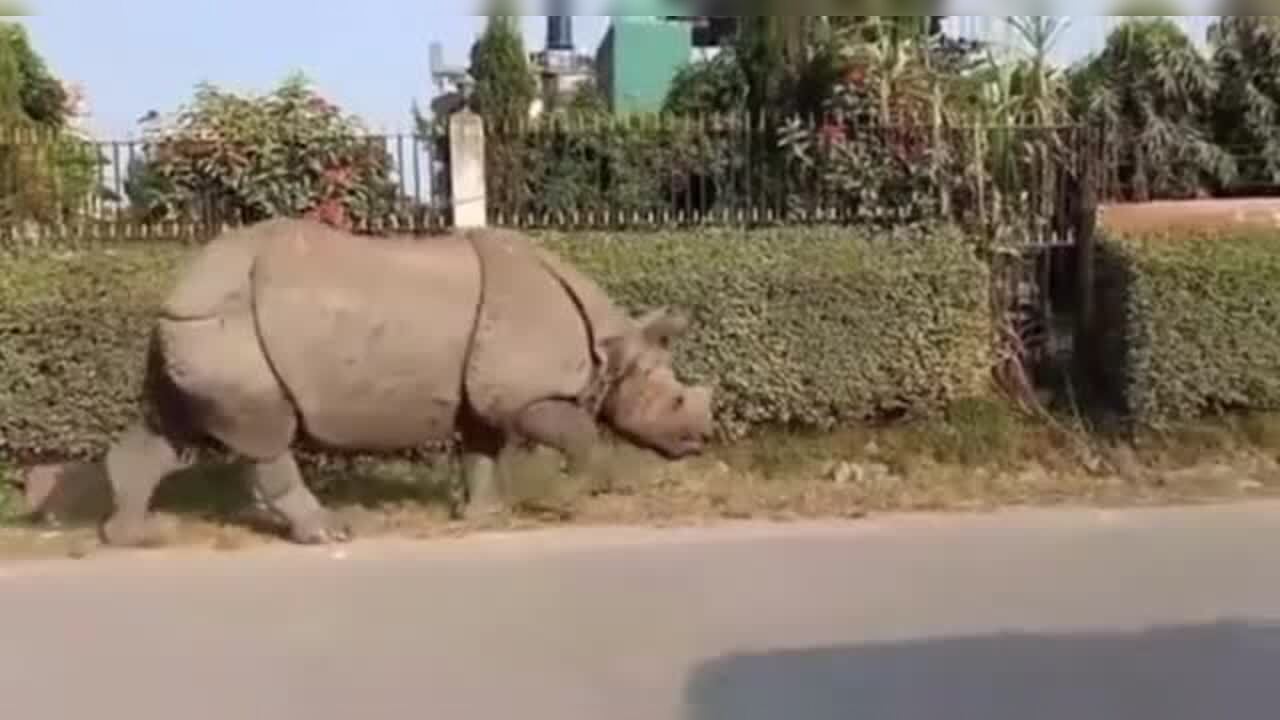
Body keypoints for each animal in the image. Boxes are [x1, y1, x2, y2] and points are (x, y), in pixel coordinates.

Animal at [99, 217, 715, 547]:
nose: (700, 441)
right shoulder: (520, 393)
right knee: (266, 435)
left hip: (199, 328)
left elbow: (481, 453)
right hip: (232, 328)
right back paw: (330, 534)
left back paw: (134, 536)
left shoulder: (480, 396)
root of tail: (180, 288)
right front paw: (583, 492)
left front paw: (482, 518)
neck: (609, 350)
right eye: (672, 399)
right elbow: (578, 433)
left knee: (169, 429)